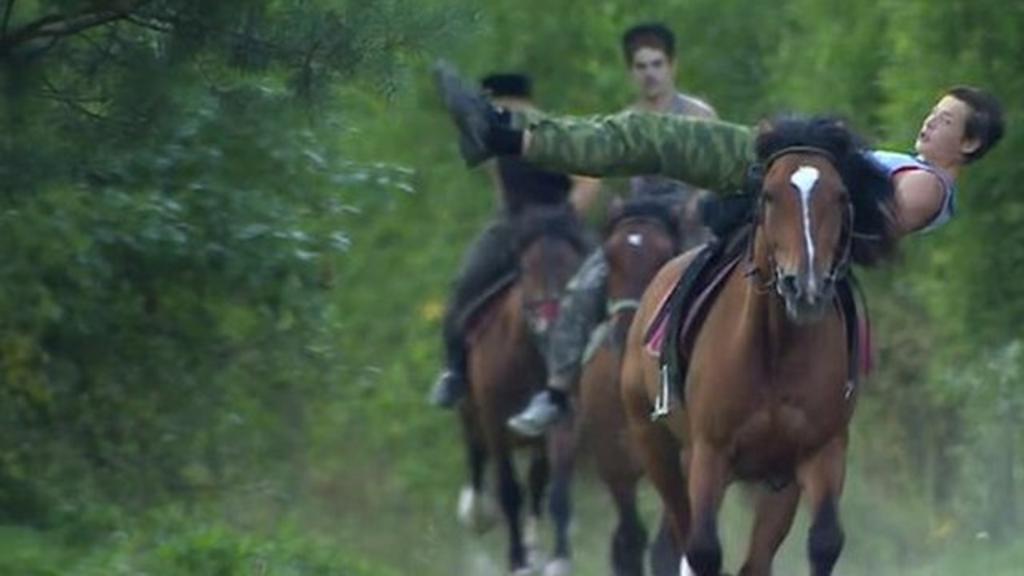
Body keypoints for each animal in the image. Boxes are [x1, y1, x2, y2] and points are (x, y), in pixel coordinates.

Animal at [457, 206, 587, 575]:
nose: (554, 321)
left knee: (537, 482)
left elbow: (557, 487)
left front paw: (558, 558)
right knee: (476, 453)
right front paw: (517, 561)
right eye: (527, 268)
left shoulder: (564, 419)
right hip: (472, 415)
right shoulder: (494, 421)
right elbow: (508, 490)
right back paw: (478, 513)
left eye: (575, 265)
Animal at [619, 117, 898, 576]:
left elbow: (824, 541)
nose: (805, 286)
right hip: (656, 445)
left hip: (773, 481)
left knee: (755, 558)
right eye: (768, 196)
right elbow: (702, 549)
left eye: (841, 196)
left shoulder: (818, 451)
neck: (773, 352)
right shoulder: (709, 452)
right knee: (679, 532)